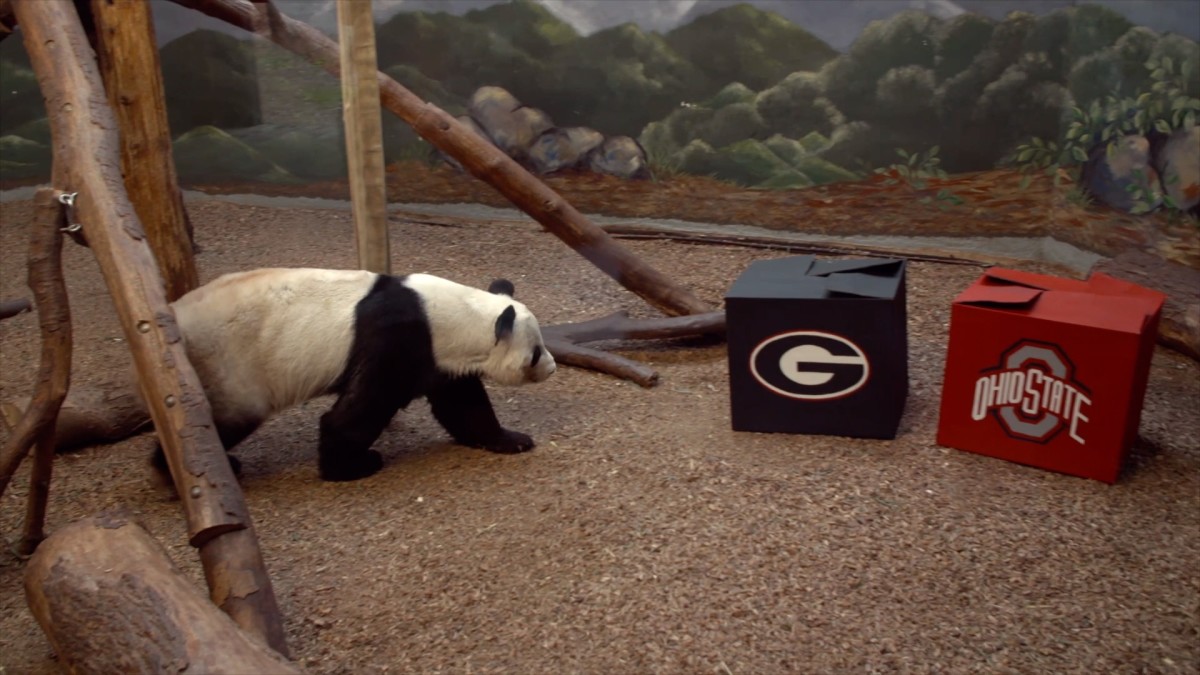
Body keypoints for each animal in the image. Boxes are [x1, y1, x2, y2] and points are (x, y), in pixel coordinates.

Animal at [153, 267, 556, 482]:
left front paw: (511, 440)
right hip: (228, 366)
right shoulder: (397, 338)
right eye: (535, 352)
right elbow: (361, 409)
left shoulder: (441, 358)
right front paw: (352, 465)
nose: (552, 366)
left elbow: (463, 404)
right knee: (219, 419)